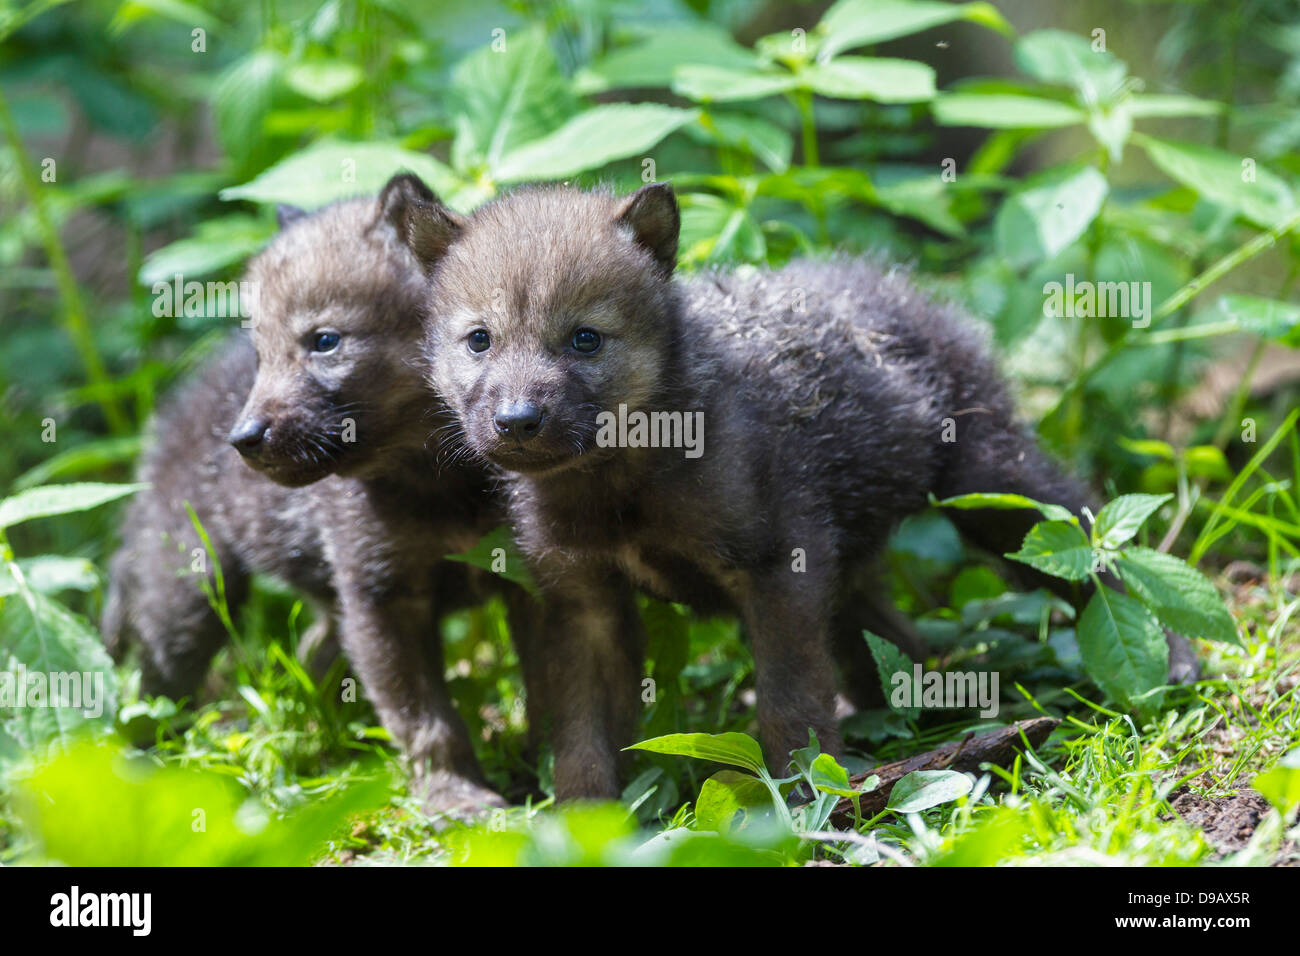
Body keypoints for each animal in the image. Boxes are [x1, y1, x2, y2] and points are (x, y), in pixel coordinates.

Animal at [103, 174, 539, 812]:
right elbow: (424, 719)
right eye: (262, 355)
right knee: (152, 690)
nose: (243, 440)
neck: (438, 473)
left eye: (325, 341)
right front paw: (455, 798)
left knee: (310, 660)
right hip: (190, 586)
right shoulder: (379, 594)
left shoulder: (529, 579)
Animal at [401, 182, 1192, 800]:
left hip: (993, 485)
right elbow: (582, 730)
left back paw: (1173, 661)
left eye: (585, 339)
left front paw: (803, 800)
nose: (516, 421)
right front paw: (582, 821)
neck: (620, 478)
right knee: (889, 638)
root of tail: (898, 286)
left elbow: (790, 700)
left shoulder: (779, 563)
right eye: (480, 339)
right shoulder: (583, 598)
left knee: (1088, 538)